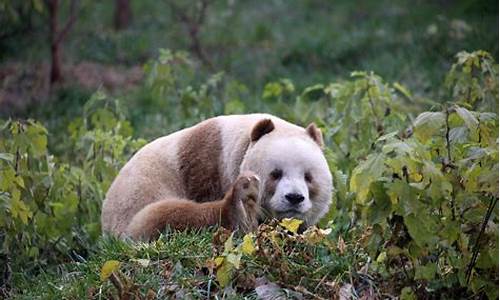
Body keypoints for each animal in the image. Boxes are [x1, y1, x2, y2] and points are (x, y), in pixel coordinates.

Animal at [101, 113, 332, 240]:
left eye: (308, 177)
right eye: (276, 174)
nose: (294, 198)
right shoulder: (207, 163)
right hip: (134, 207)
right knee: (163, 217)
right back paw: (240, 207)